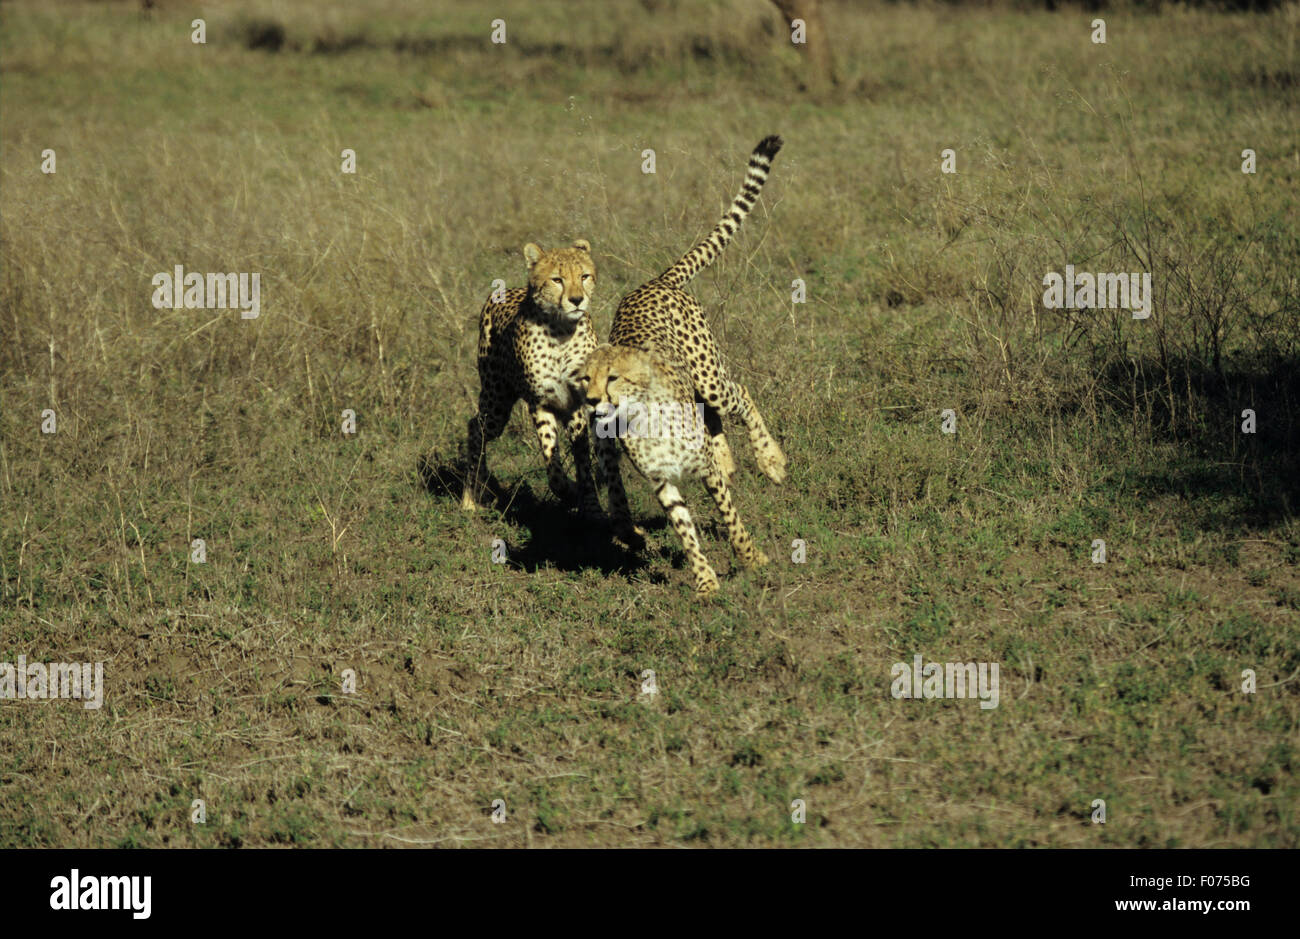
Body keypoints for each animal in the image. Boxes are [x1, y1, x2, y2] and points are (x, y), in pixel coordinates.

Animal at [461, 239, 602, 518]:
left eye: (584, 276)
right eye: (557, 279)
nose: (577, 300)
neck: (560, 331)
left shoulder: (576, 405)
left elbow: (582, 461)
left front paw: (590, 504)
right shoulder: (540, 402)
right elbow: (552, 465)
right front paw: (569, 491)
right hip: (497, 402)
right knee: (476, 428)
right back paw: (471, 498)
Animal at [582, 343, 767, 595]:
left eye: (612, 377)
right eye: (586, 378)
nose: (590, 400)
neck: (643, 415)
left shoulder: (707, 469)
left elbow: (730, 515)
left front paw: (750, 557)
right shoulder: (662, 482)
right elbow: (684, 530)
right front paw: (706, 581)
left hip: (712, 385)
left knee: (742, 393)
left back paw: (772, 462)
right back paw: (729, 463)